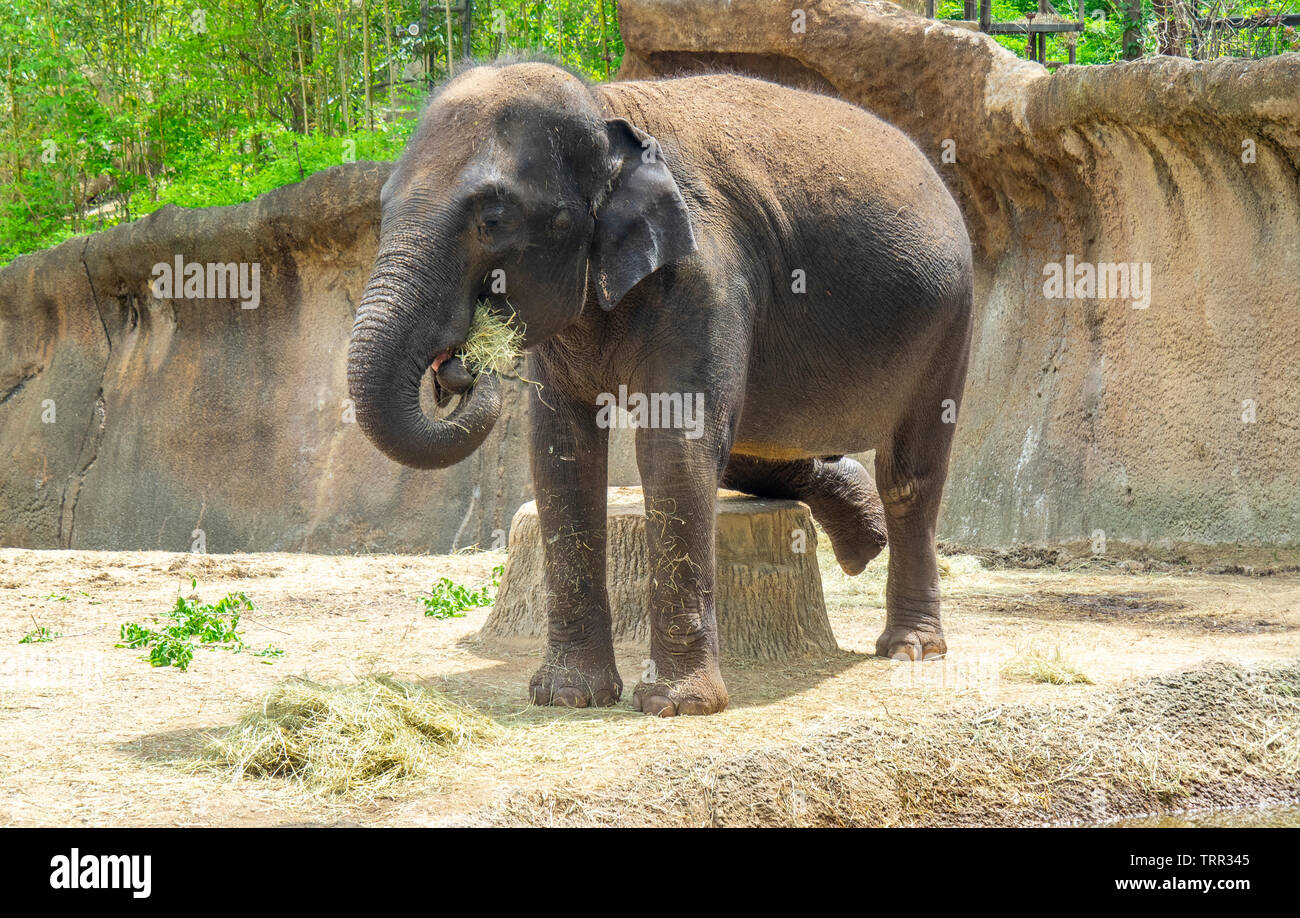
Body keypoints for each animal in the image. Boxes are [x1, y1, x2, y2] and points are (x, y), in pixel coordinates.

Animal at [347, 60, 973, 717]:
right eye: (383, 207)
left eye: (491, 221)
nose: (460, 367)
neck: (607, 110)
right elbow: (561, 454)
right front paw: (568, 695)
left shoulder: (705, 273)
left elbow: (674, 449)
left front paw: (678, 706)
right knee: (749, 448)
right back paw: (863, 538)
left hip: (952, 318)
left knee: (910, 473)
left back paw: (911, 646)